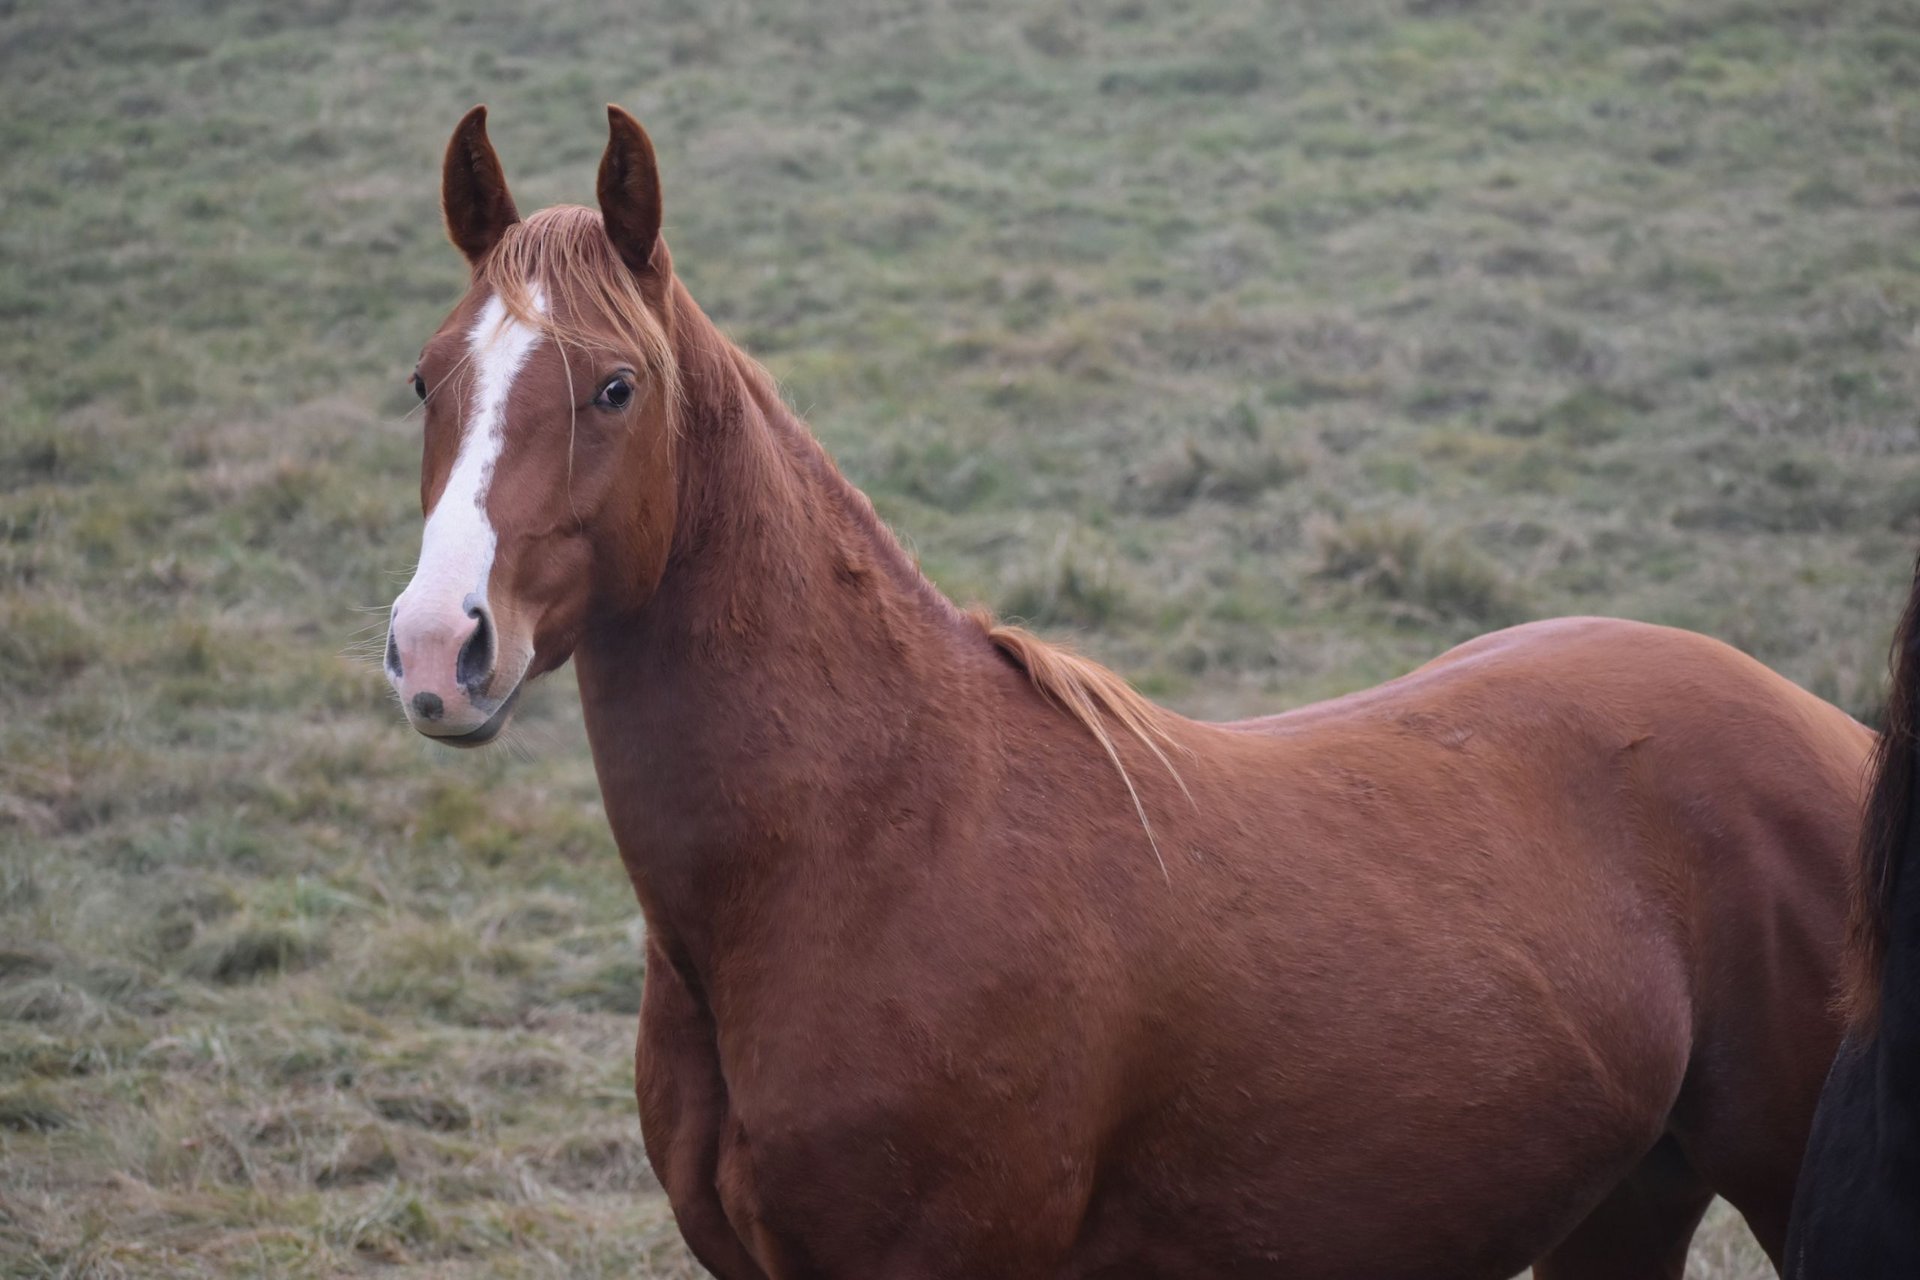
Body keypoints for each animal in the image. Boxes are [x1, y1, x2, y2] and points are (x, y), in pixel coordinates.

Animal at [381, 104, 1872, 1278]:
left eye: (615, 386)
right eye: (425, 380)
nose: (438, 650)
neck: (869, 845)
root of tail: (1834, 733)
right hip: (1627, 1202)